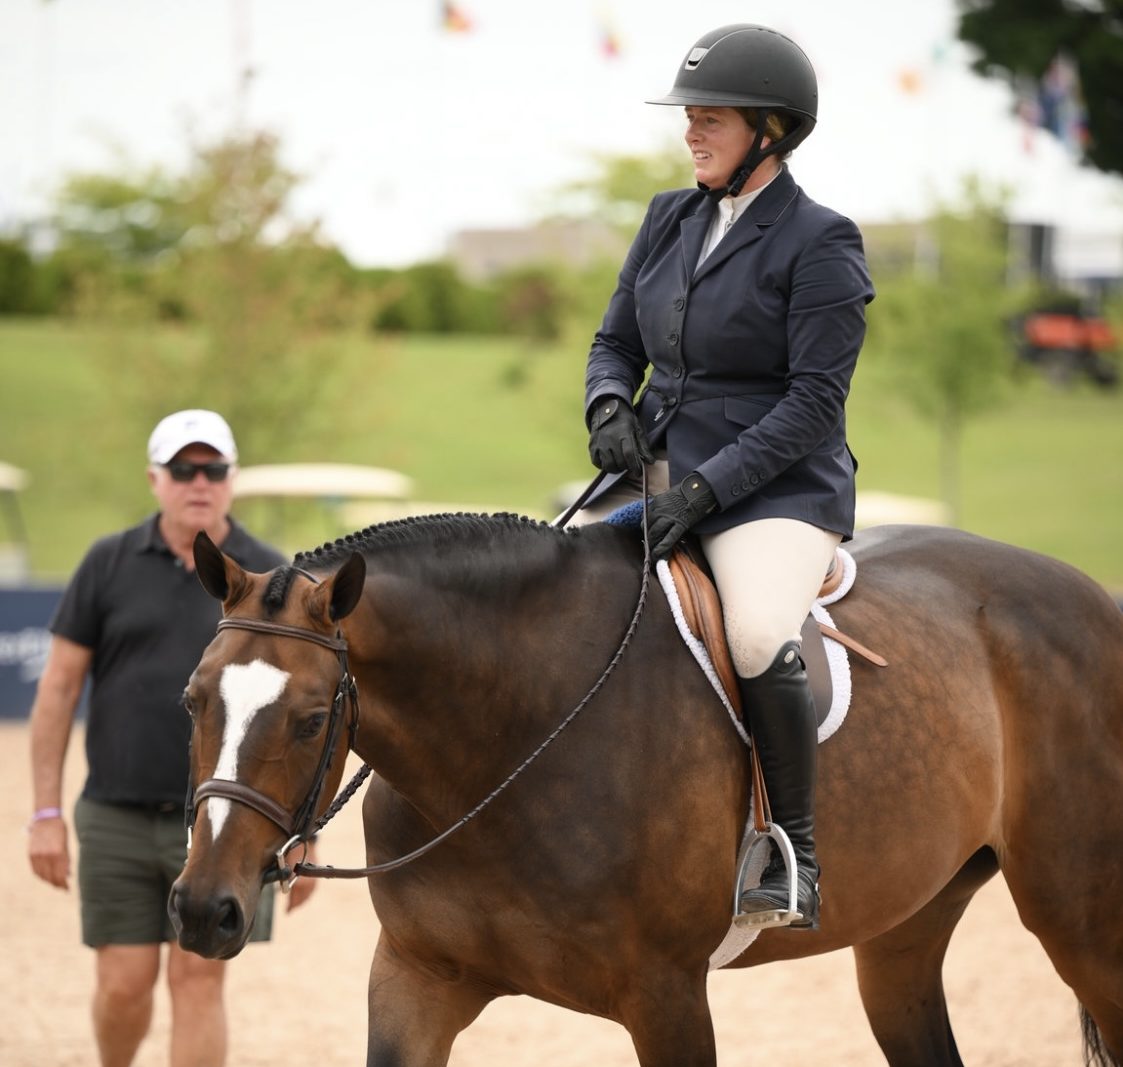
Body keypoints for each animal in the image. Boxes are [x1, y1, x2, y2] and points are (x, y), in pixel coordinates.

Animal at [168, 514, 1123, 1067]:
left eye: (308, 719)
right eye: (191, 699)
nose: (204, 909)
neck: (505, 741)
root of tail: (1092, 595)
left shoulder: (667, 998)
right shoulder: (415, 978)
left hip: (1083, 925)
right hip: (903, 934)